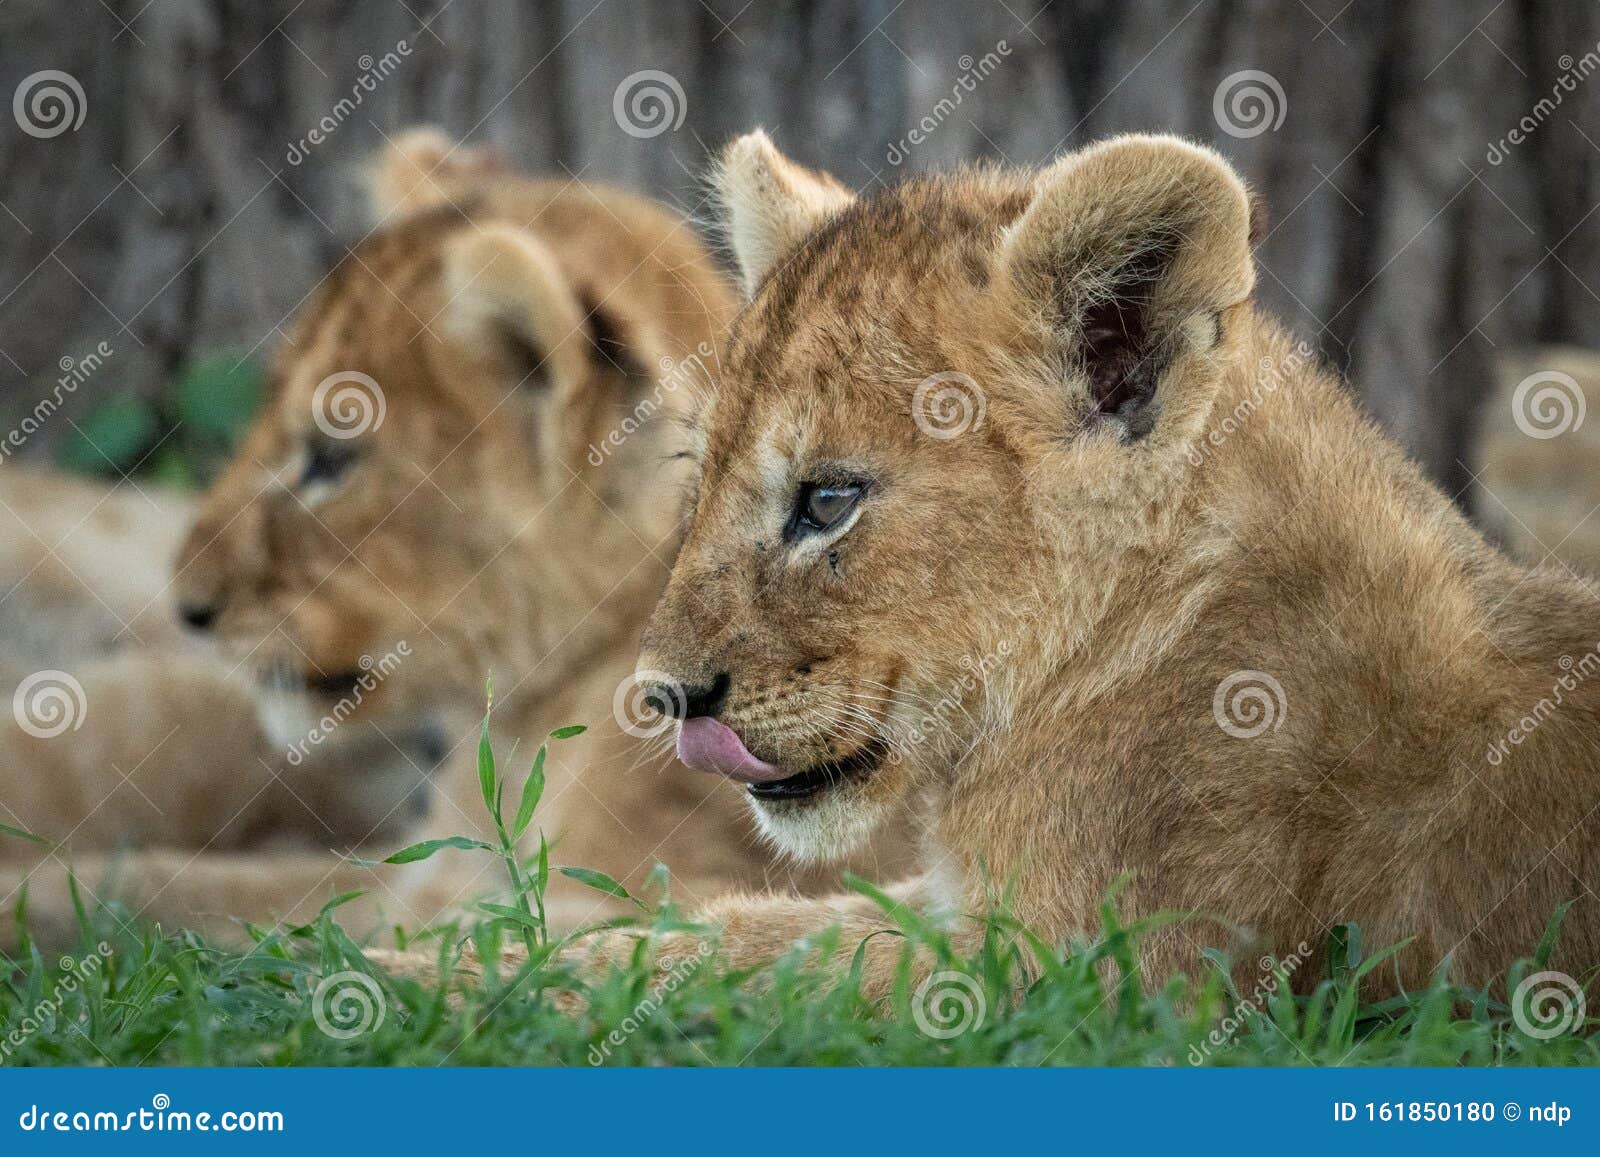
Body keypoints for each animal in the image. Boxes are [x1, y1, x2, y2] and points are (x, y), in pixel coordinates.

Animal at [8, 130, 909, 945]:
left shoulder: (630, 887)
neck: (525, 721)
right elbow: (193, 885)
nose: (189, 608)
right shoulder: (439, 868)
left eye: (332, 457)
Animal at [506, 129, 1600, 1002]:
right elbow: (748, 924)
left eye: (827, 500)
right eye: (699, 487)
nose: (665, 697)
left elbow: (741, 964)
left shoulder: (1086, 979)